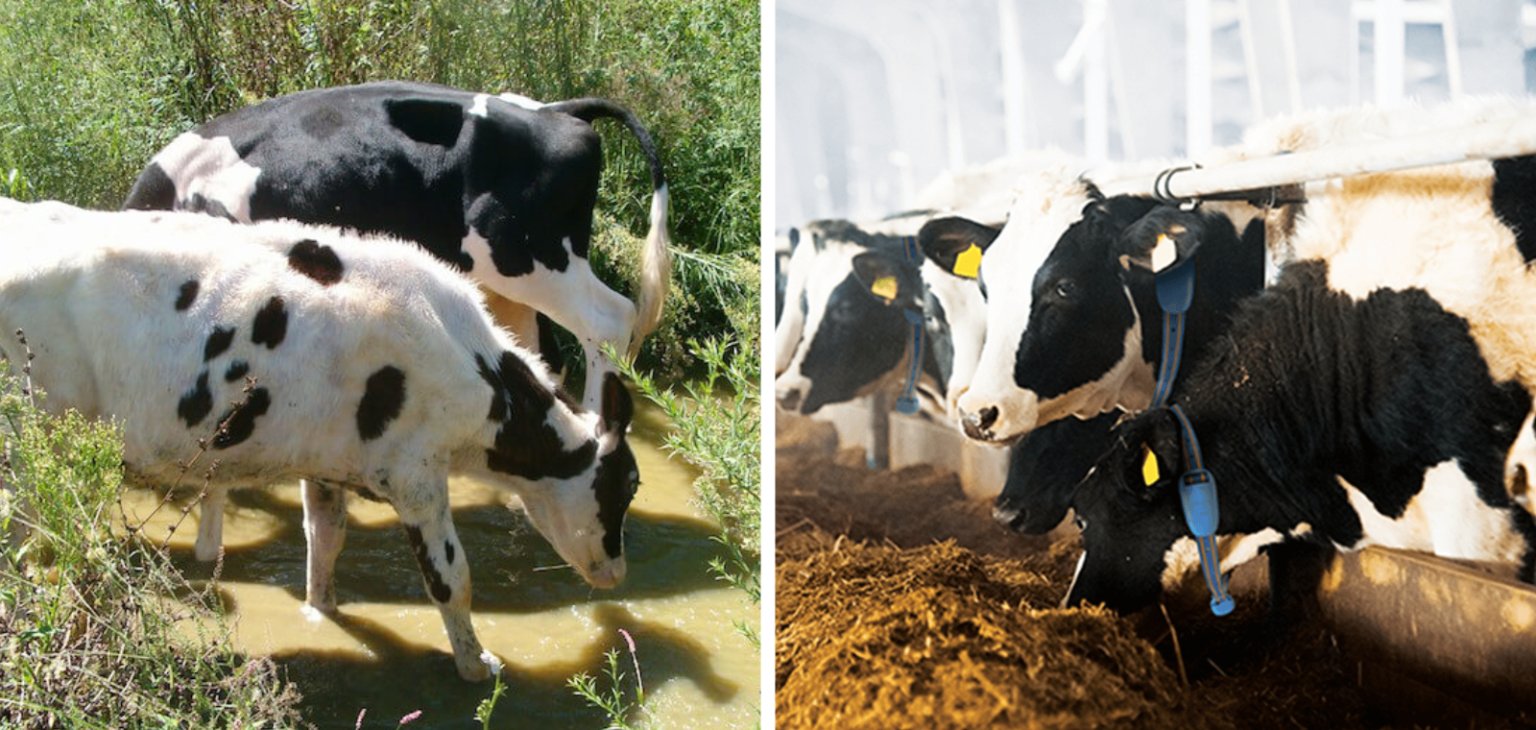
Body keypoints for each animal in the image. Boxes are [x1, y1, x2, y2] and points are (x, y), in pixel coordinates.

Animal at [0, 200, 639, 681]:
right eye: (627, 487)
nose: (617, 572)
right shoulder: (417, 475)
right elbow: (452, 579)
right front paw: (477, 665)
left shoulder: (329, 463)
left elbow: (325, 542)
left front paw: (321, 610)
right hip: (34, 447)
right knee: (25, 547)